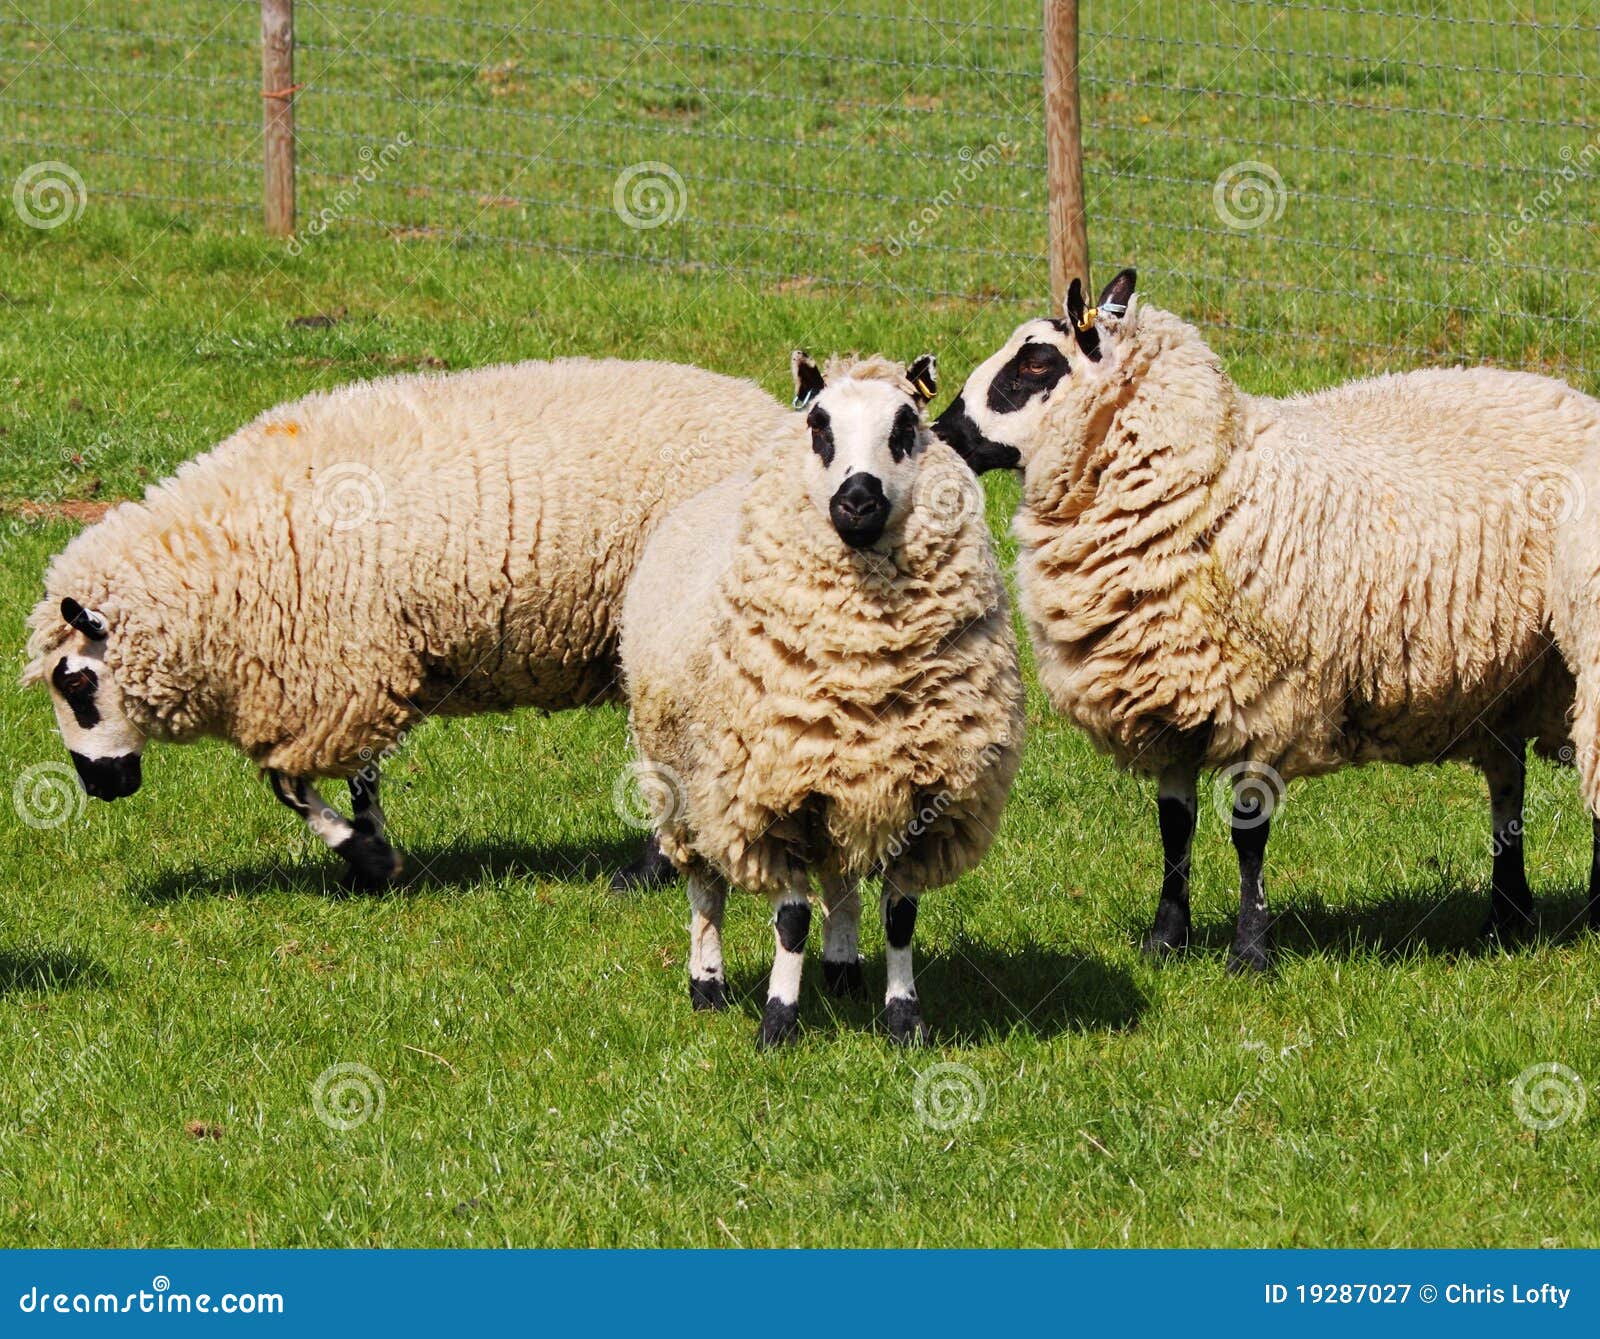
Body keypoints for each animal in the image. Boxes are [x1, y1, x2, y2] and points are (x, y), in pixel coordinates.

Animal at [23, 357, 793, 889]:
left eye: (78, 682)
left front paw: (367, 856)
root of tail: (774, 417)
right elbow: (356, 778)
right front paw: (369, 855)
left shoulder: (334, 679)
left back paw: (647, 872)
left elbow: (286, 783)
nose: (99, 785)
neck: (221, 565)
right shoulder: (359, 668)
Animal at [621, 352, 1025, 1046]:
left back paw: (842, 971)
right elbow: (791, 922)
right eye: (819, 425)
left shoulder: (924, 800)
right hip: (683, 789)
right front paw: (778, 1024)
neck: (865, 667)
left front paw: (904, 1019)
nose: (857, 500)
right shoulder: (766, 799)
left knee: (839, 879)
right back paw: (707, 985)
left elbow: (900, 918)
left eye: (906, 426)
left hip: (838, 786)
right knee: (705, 891)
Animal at [933, 268, 1600, 971]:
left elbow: (1248, 831)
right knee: (1508, 785)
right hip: (1504, 678)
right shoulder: (1172, 697)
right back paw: (1506, 919)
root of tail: (1573, 395)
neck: (1209, 479)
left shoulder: (1264, 696)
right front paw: (1165, 941)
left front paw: (1250, 952)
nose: (943, 434)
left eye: (1035, 365)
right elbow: (1174, 825)